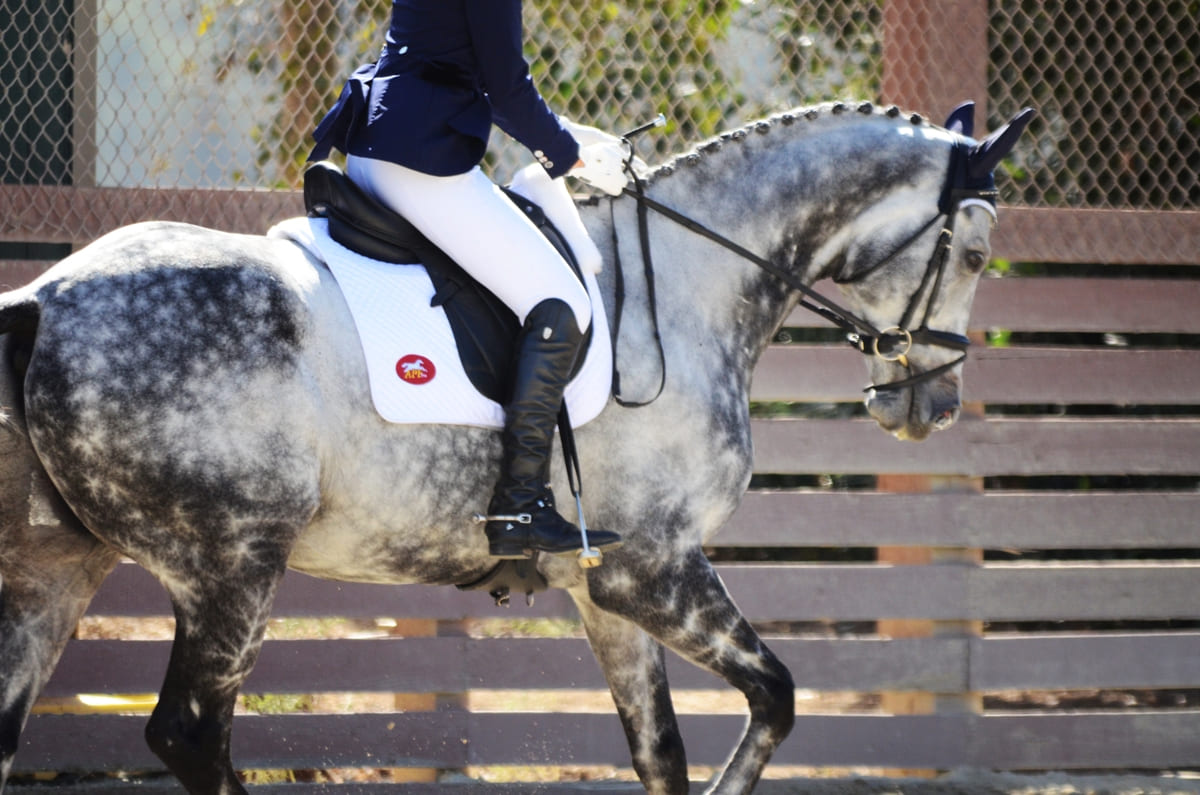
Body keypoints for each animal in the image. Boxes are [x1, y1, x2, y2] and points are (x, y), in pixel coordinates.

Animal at [0, 100, 1031, 794]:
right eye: (978, 253)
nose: (932, 404)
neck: (691, 277)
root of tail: (44, 294)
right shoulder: (655, 567)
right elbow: (774, 695)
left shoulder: (607, 591)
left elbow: (660, 751)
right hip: (233, 567)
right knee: (190, 734)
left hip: (55, 569)